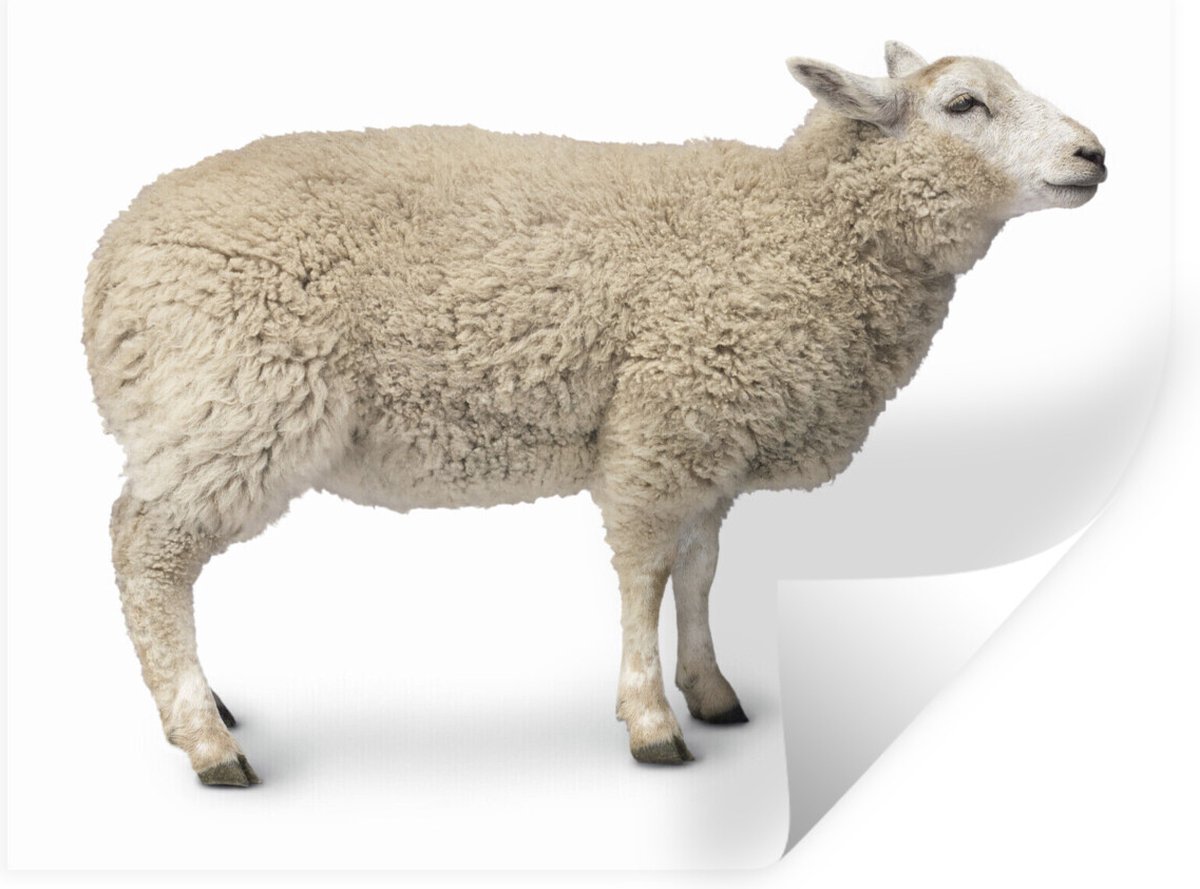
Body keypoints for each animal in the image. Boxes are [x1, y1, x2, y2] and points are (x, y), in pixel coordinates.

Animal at [83, 41, 1107, 785]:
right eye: (964, 104)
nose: (1094, 154)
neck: (794, 226)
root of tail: (111, 262)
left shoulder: (710, 440)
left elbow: (700, 570)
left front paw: (712, 690)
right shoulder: (660, 424)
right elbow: (645, 574)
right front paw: (652, 721)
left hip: (195, 408)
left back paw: (207, 708)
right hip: (232, 396)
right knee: (148, 553)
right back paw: (206, 739)